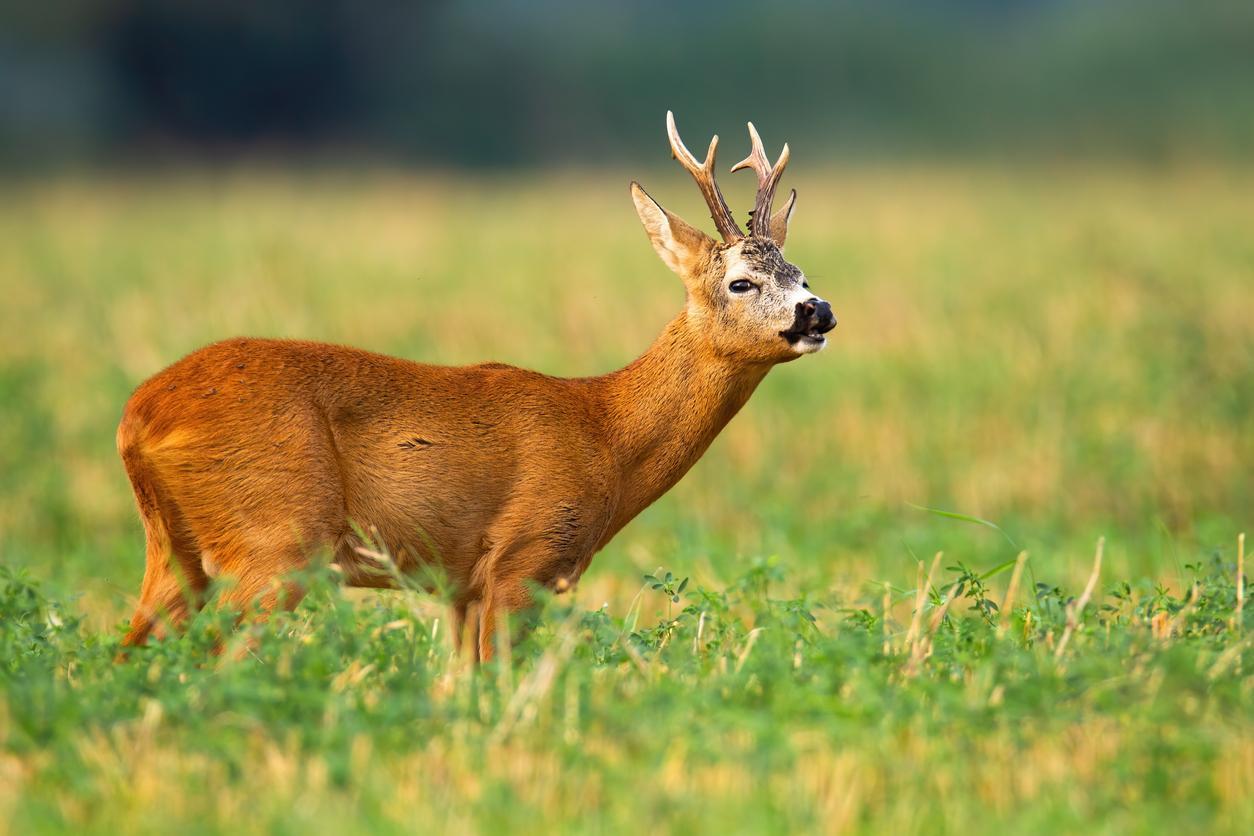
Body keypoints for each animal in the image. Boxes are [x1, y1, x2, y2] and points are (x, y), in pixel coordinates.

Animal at [116, 112, 837, 661]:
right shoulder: (523, 559)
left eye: (800, 273)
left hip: (175, 551)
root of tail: (137, 417)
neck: (606, 431)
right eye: (741, 281)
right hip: (276, 537)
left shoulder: (461, 586)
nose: (818, 311)